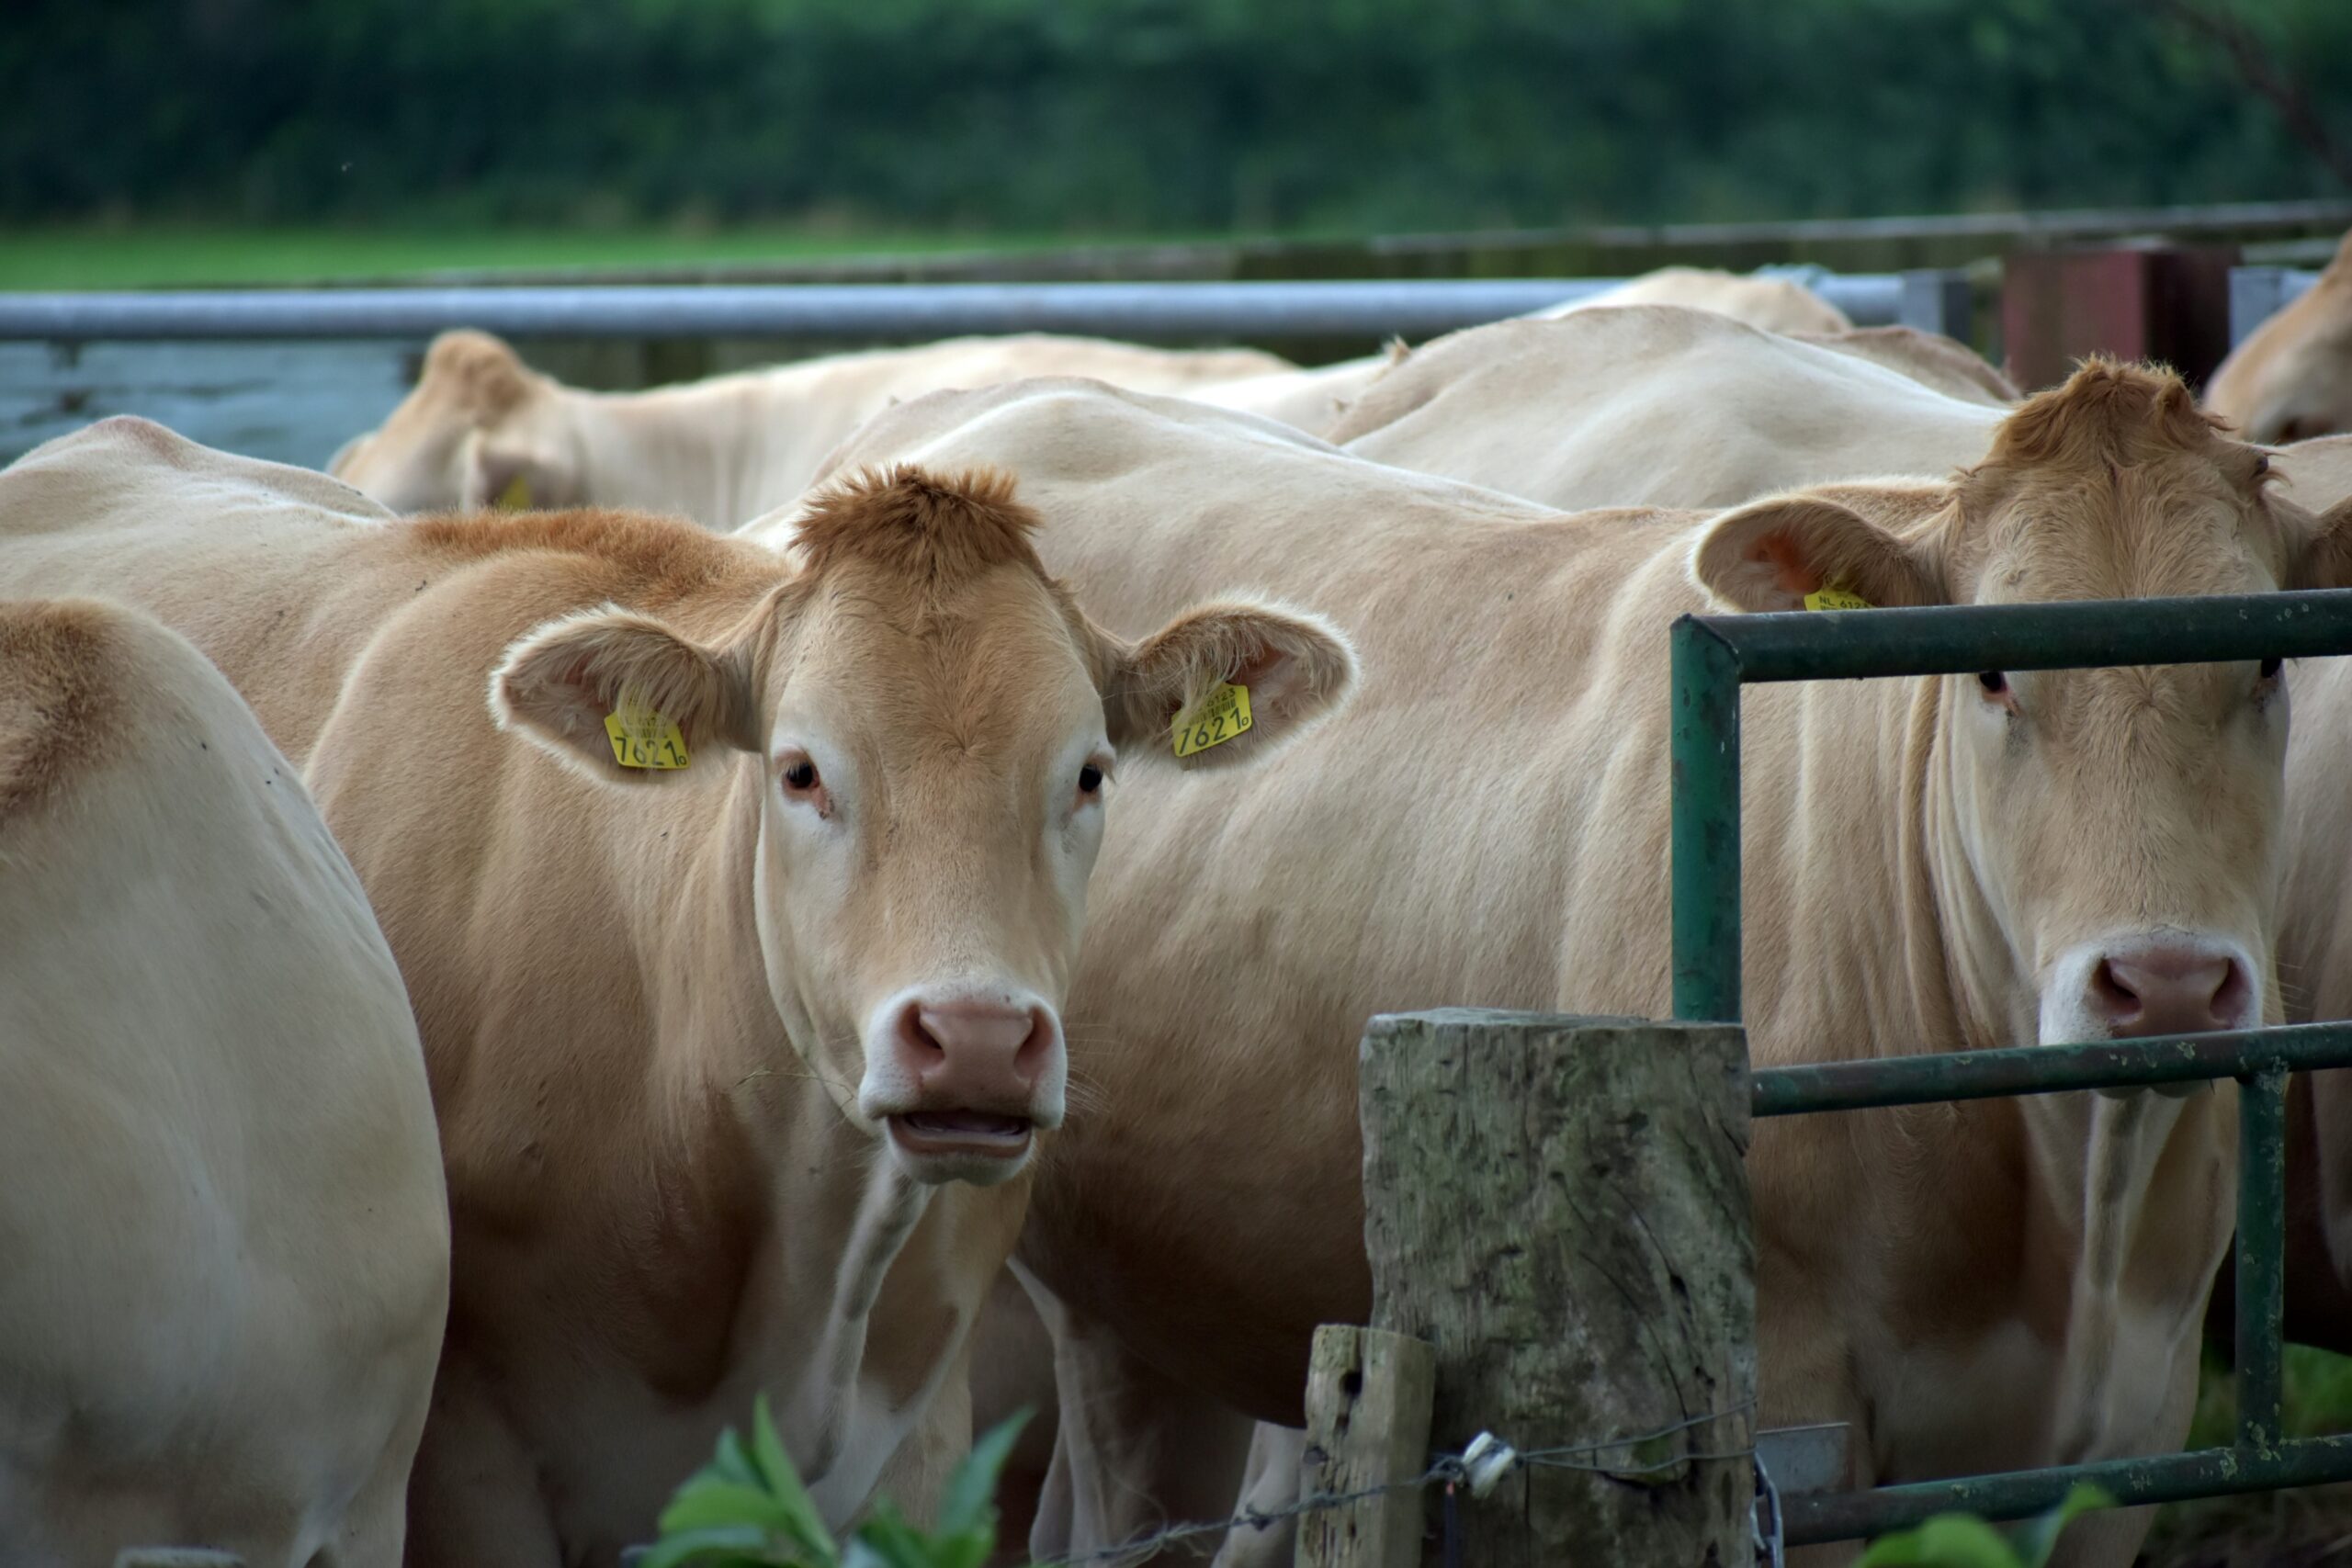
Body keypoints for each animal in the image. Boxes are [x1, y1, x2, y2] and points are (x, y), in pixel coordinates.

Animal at [804, 365, 2352, 1567]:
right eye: (1987, 672)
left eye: (2269, 664)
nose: (2162, 982)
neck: (2062, 1208)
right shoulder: (1794, 1425)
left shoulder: (2126, 1434)